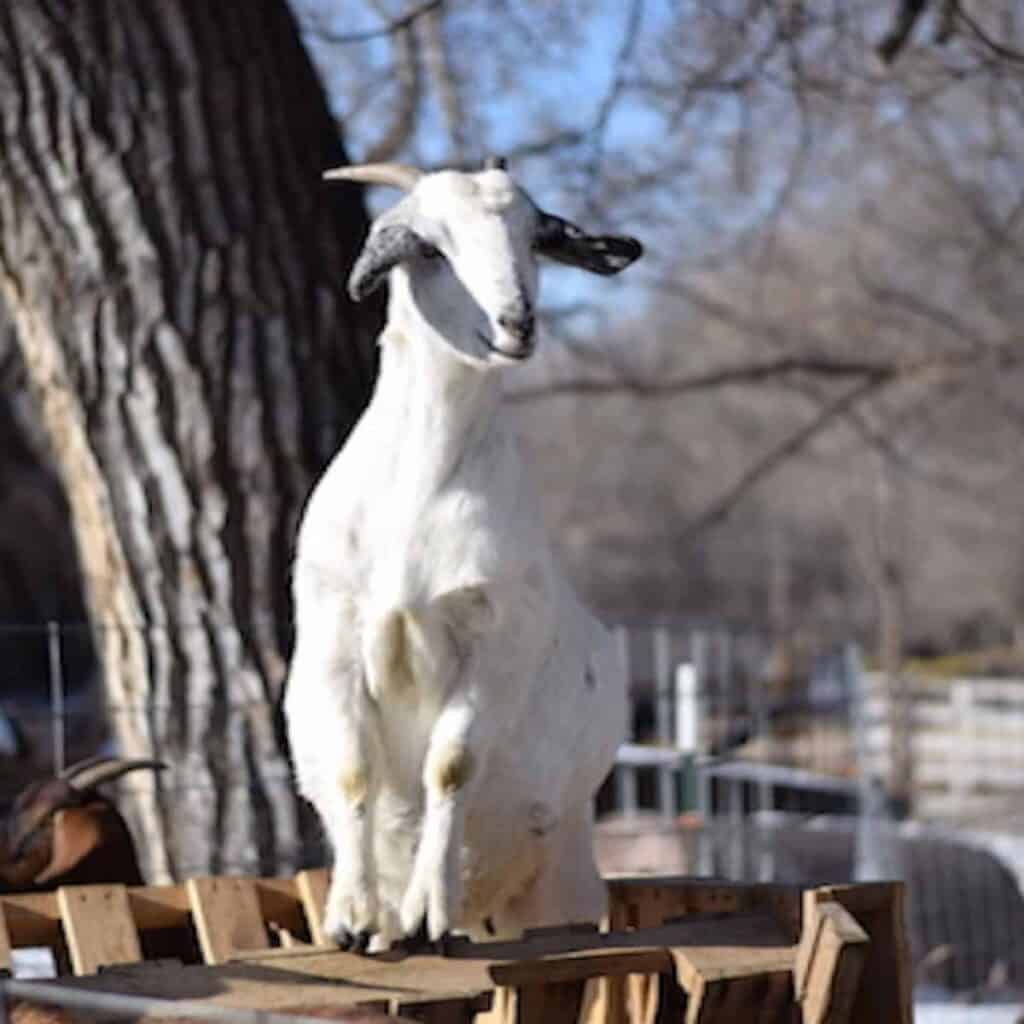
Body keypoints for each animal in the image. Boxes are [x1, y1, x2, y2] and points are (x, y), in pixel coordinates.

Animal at [284, 159, 642, 952]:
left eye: (537, 238)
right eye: (428, 244)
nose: (517, 323)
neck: (418, 487)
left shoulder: (493, 636)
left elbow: (450, 765)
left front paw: (427, 911)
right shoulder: (333, 633)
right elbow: (353, 770)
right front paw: (349, 917)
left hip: (563, 881)